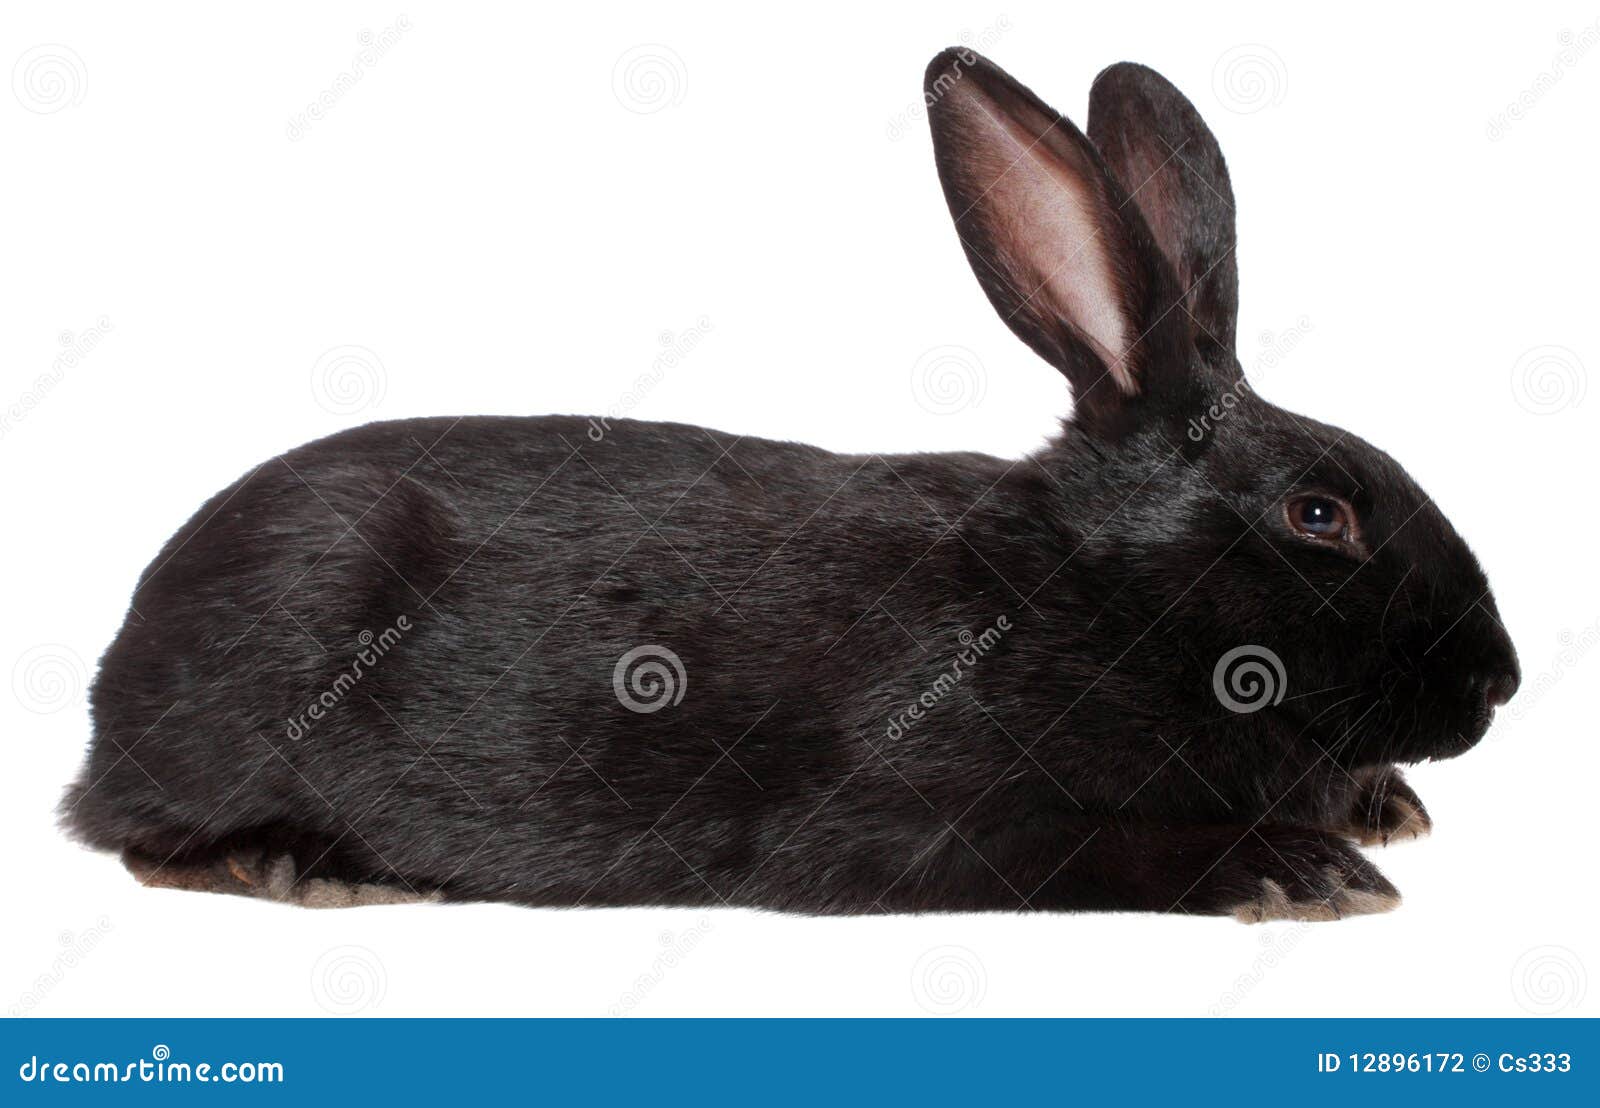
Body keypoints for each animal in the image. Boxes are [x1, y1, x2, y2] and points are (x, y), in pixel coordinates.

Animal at [62, 48, 1520, 922]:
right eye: (1318, 514)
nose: (1499, 682)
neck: (1105, 598)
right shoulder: (921, 814)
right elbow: (1091, 849)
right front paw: (1300, 871)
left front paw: (1384, 813)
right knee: (132, 837)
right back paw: (293, 864)